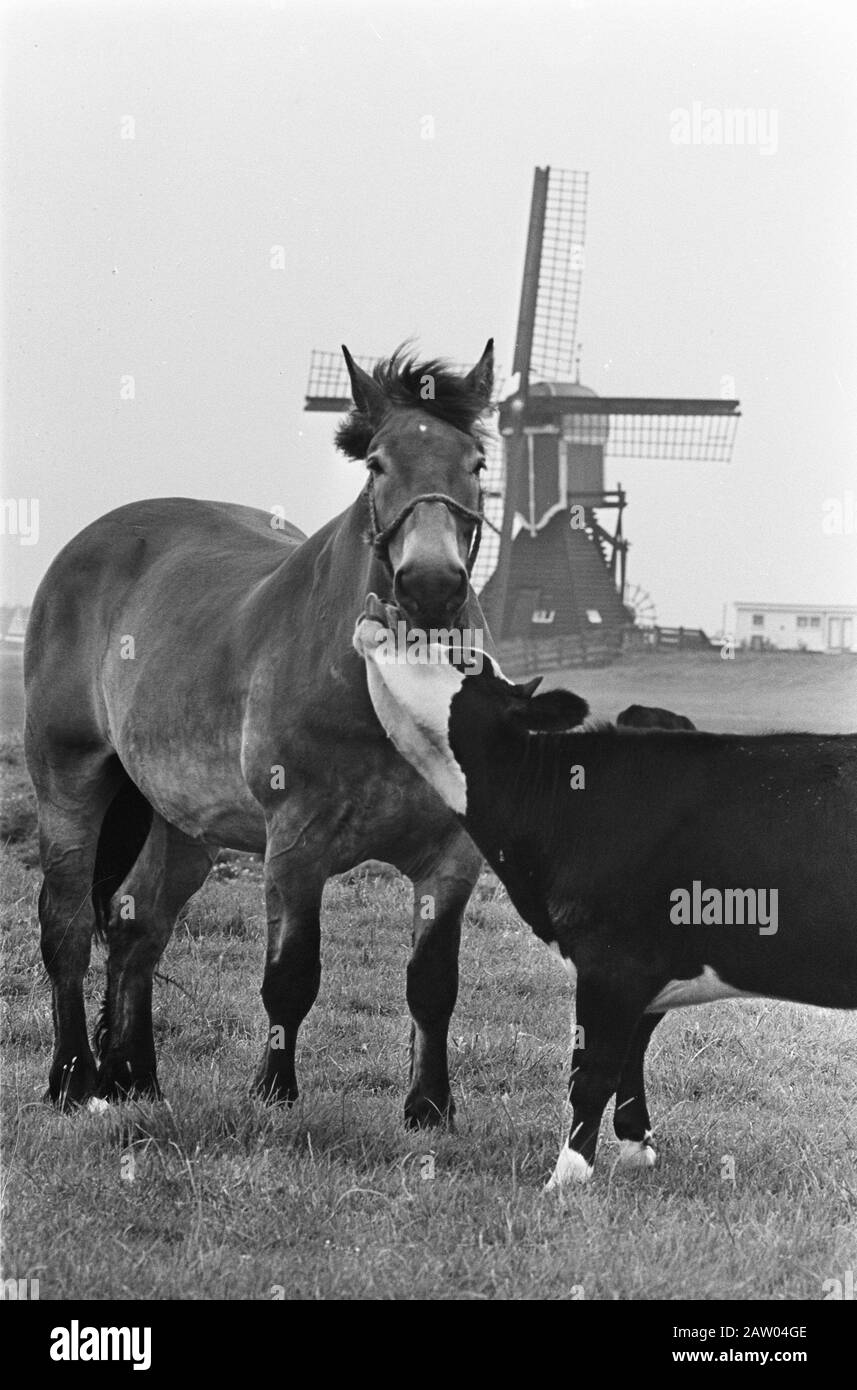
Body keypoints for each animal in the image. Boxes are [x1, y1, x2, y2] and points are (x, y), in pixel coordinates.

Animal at [24, 341, 495, 1124]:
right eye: (377, 464)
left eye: (478, 461)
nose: (431, 584)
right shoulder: (295, 851)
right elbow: (291, 978)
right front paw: (275, 1092)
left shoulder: (451, 859)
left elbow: (434, 984)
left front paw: (429, 1109)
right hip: (70, 783)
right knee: (65, 927)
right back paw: (73, 1078)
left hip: (180, 822)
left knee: (136, 926)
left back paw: (133, 1077)